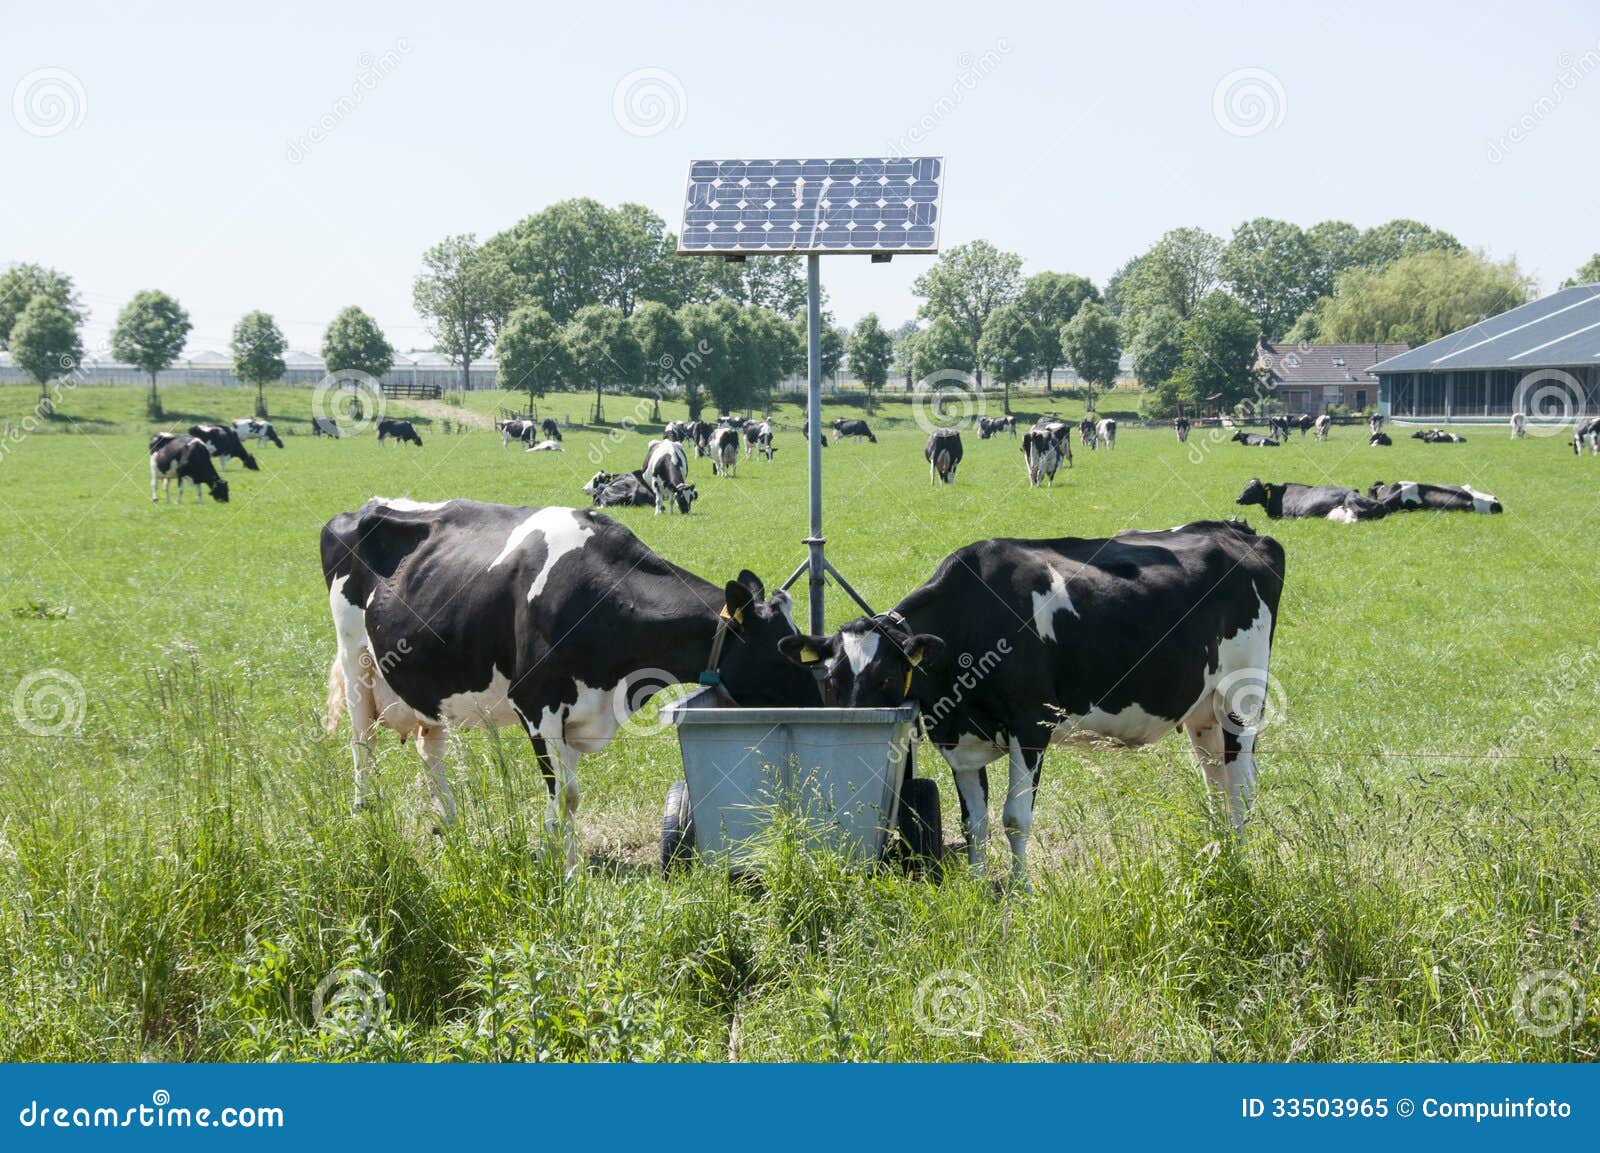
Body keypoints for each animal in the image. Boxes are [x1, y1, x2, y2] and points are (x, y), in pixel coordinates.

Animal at [321, 499, 821, 862]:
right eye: (784, 653)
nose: (821, 705)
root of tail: (358, 509)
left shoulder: (579, 713)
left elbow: (573, 797)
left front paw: (571, 865)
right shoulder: (534, 703)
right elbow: (561, 796)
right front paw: (556, 870)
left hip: (428, 683)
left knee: (430, 749)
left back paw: (449, 823)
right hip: (355, 659)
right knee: (361, 743)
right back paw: (365, 817)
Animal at [776, 520, 1286, 883]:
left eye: (885, 675)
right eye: (829, 680)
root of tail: (1239, 530)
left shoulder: (1031, 723)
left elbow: (1015, 818)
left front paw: (1021, 893)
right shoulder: (958, 739)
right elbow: (974, 822)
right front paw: (978, 888)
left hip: (1241, 697)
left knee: (1240, 785)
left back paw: (1238, 863)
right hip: (1202, 709)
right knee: (1215, 780)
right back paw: (1217, 851)